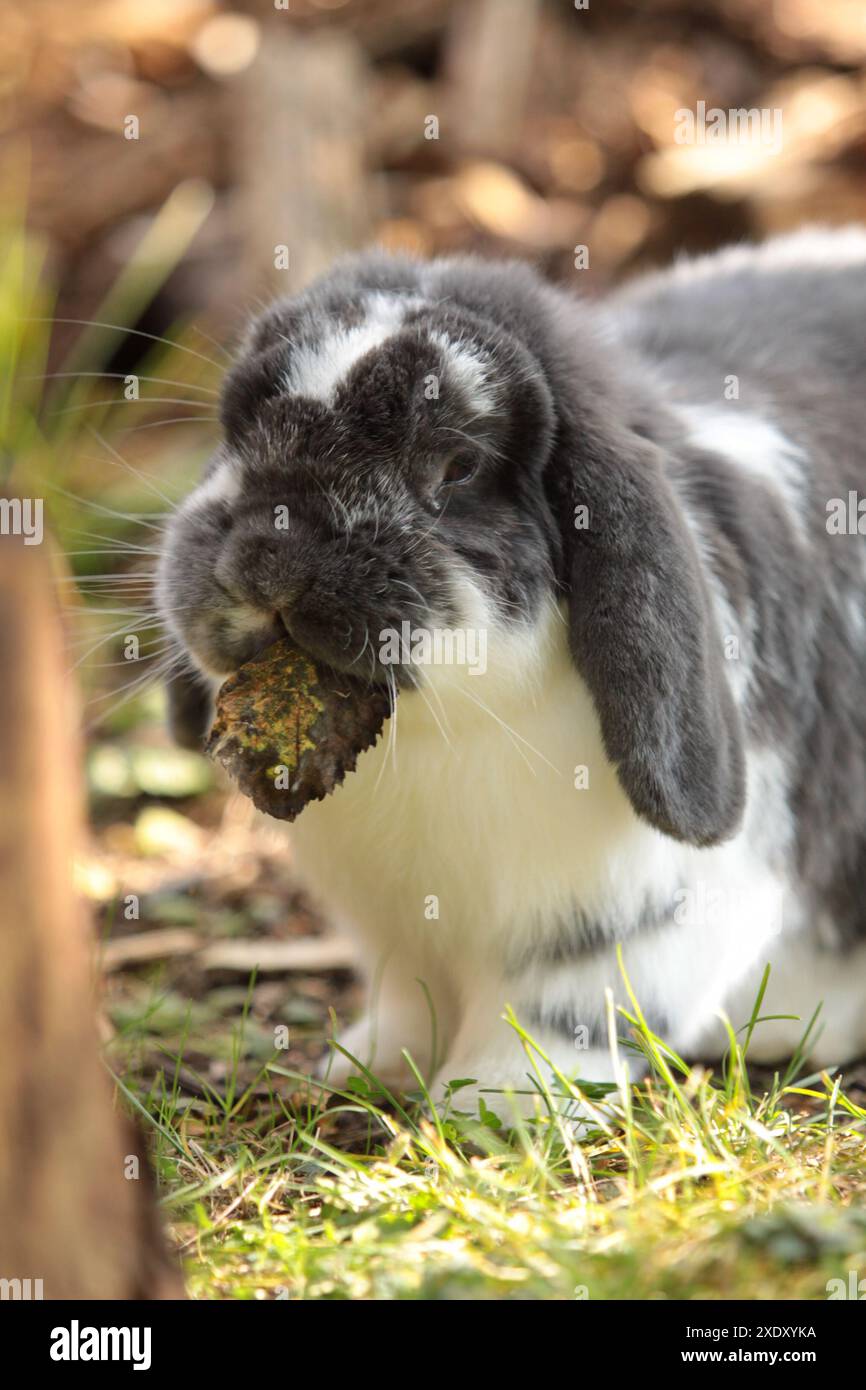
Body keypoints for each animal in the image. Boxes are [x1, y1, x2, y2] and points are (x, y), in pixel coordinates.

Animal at [157, 226, 866, 1118]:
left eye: (458, 467)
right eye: (236, 429)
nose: (264, 562)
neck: (437, 732)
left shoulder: (636, 920)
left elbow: (560, 1015)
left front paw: (487, 1107)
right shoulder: (398, 937)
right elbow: (406, 1003)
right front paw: (368, 1068)